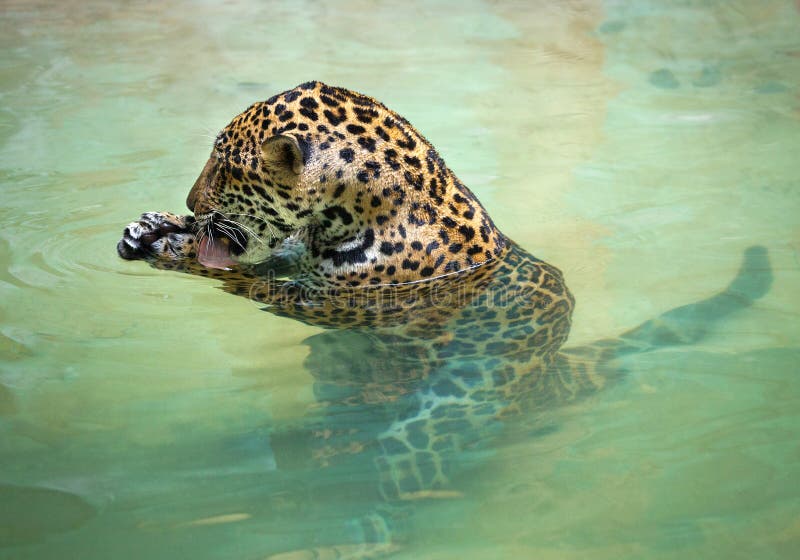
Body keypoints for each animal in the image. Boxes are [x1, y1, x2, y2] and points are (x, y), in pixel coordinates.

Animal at [117, 82, 772, 558]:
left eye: (226, 170)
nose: (192, 200)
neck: (359, 204)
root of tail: (550, 372)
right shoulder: (302, 263)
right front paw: (154, 226)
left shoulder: (339, 297)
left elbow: (245, 279)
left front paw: (174, 247)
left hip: (445, 412)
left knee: (398, 495)